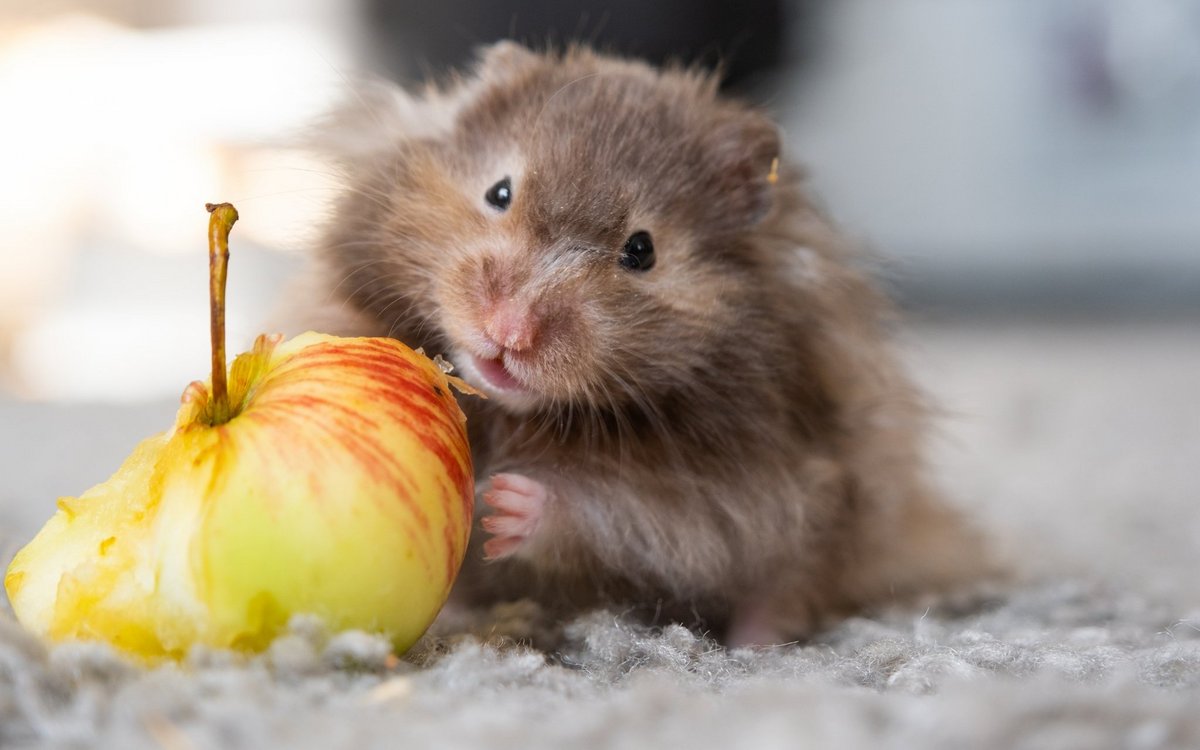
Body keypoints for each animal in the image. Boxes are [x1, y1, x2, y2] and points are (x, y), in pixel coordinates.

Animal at [297, 42, 991, 646]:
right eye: (499, 192)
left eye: (642, 250)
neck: (523, 415)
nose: (509, 332)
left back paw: (756, 644)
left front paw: (501, 500)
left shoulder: (726, 492)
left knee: (788, 586)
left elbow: (611, 509)